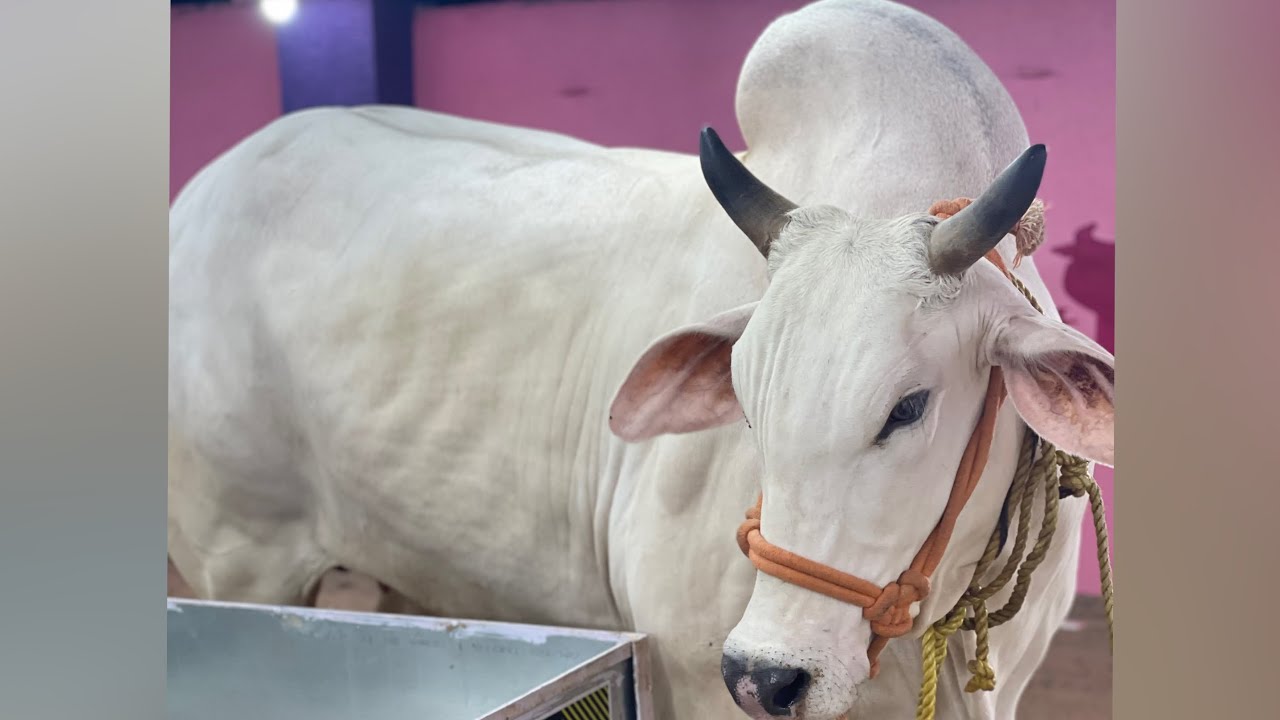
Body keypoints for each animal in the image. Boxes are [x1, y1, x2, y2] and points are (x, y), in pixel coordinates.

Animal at [167, 1, 1114, 718]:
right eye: (745, 408)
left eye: (908, 407)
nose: (768, 675)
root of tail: (195, 201)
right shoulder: (689, 684)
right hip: (239, 562)